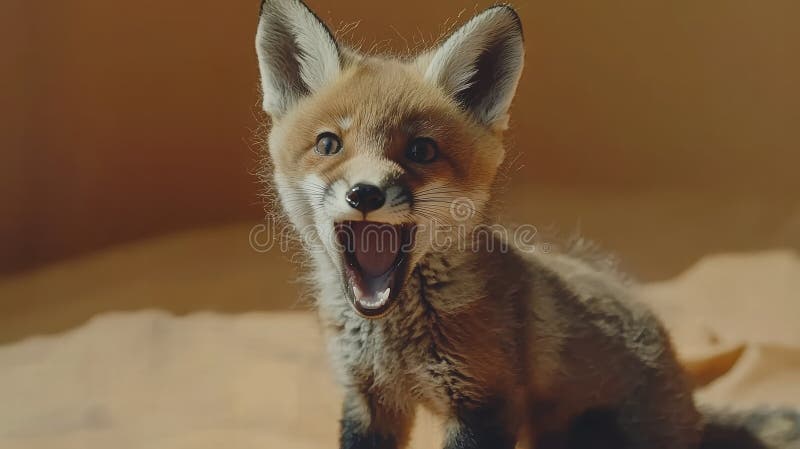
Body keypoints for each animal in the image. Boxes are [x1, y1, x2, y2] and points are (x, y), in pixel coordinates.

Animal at [253, 1, 800, 448]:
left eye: (421, 150)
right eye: (329, 144)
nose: (364, 194)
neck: (395, 343)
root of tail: (691, 409)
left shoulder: (487, 403)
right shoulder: (368, 399)